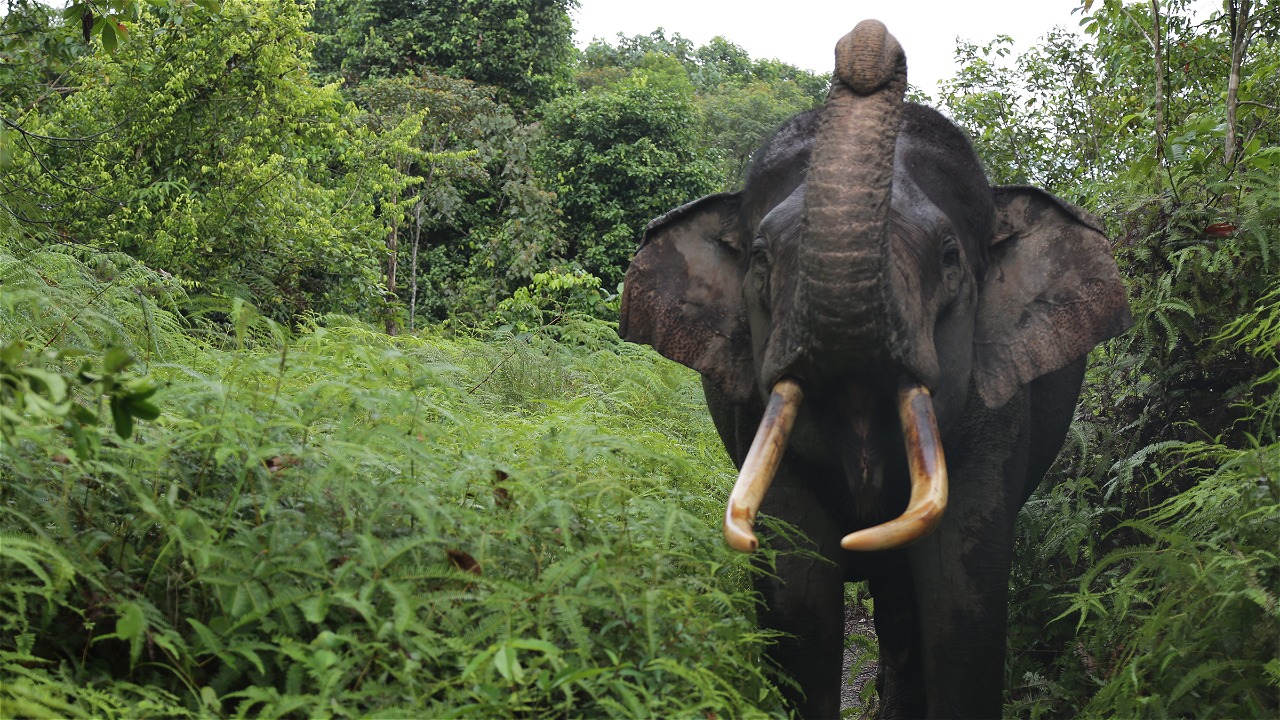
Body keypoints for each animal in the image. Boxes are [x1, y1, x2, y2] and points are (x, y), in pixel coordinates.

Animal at [617, 20, 1132, 719]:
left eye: (949, 256)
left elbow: (961, 601)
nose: (867, 42)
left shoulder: (993, 414)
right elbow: (797, 603)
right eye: (760, 257)